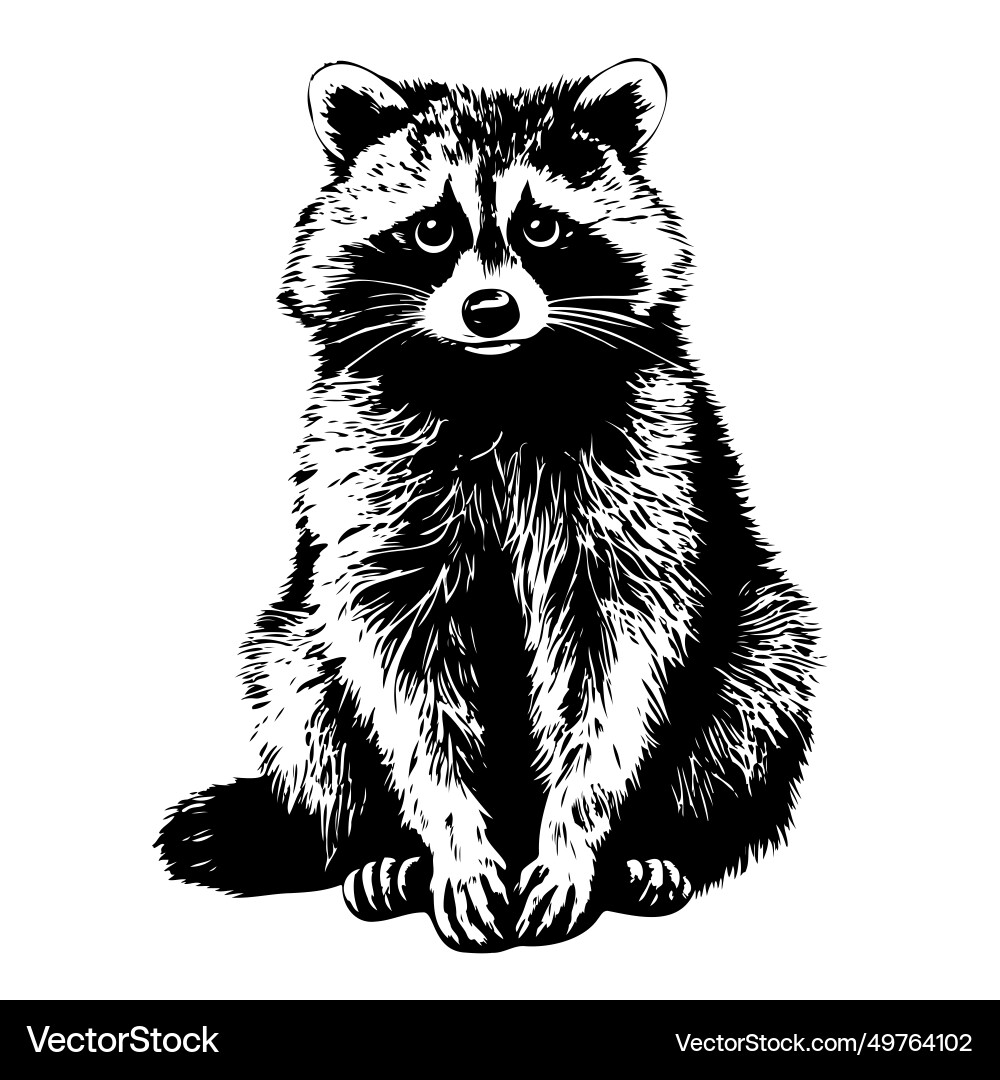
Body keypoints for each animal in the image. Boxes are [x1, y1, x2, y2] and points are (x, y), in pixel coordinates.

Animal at [156, 59, 819, 950]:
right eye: (433, 230)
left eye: (541, 228)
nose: (489, 310)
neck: (496, 384)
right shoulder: (365, 471)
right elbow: (402, 675)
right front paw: (453, 844)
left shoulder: (642, 469)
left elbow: (616, 668)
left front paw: (577, 840)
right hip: (294, 644)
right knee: (295, 681)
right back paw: (378, 846)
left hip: (761, 636)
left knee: (758, 680)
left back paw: (663, 843)